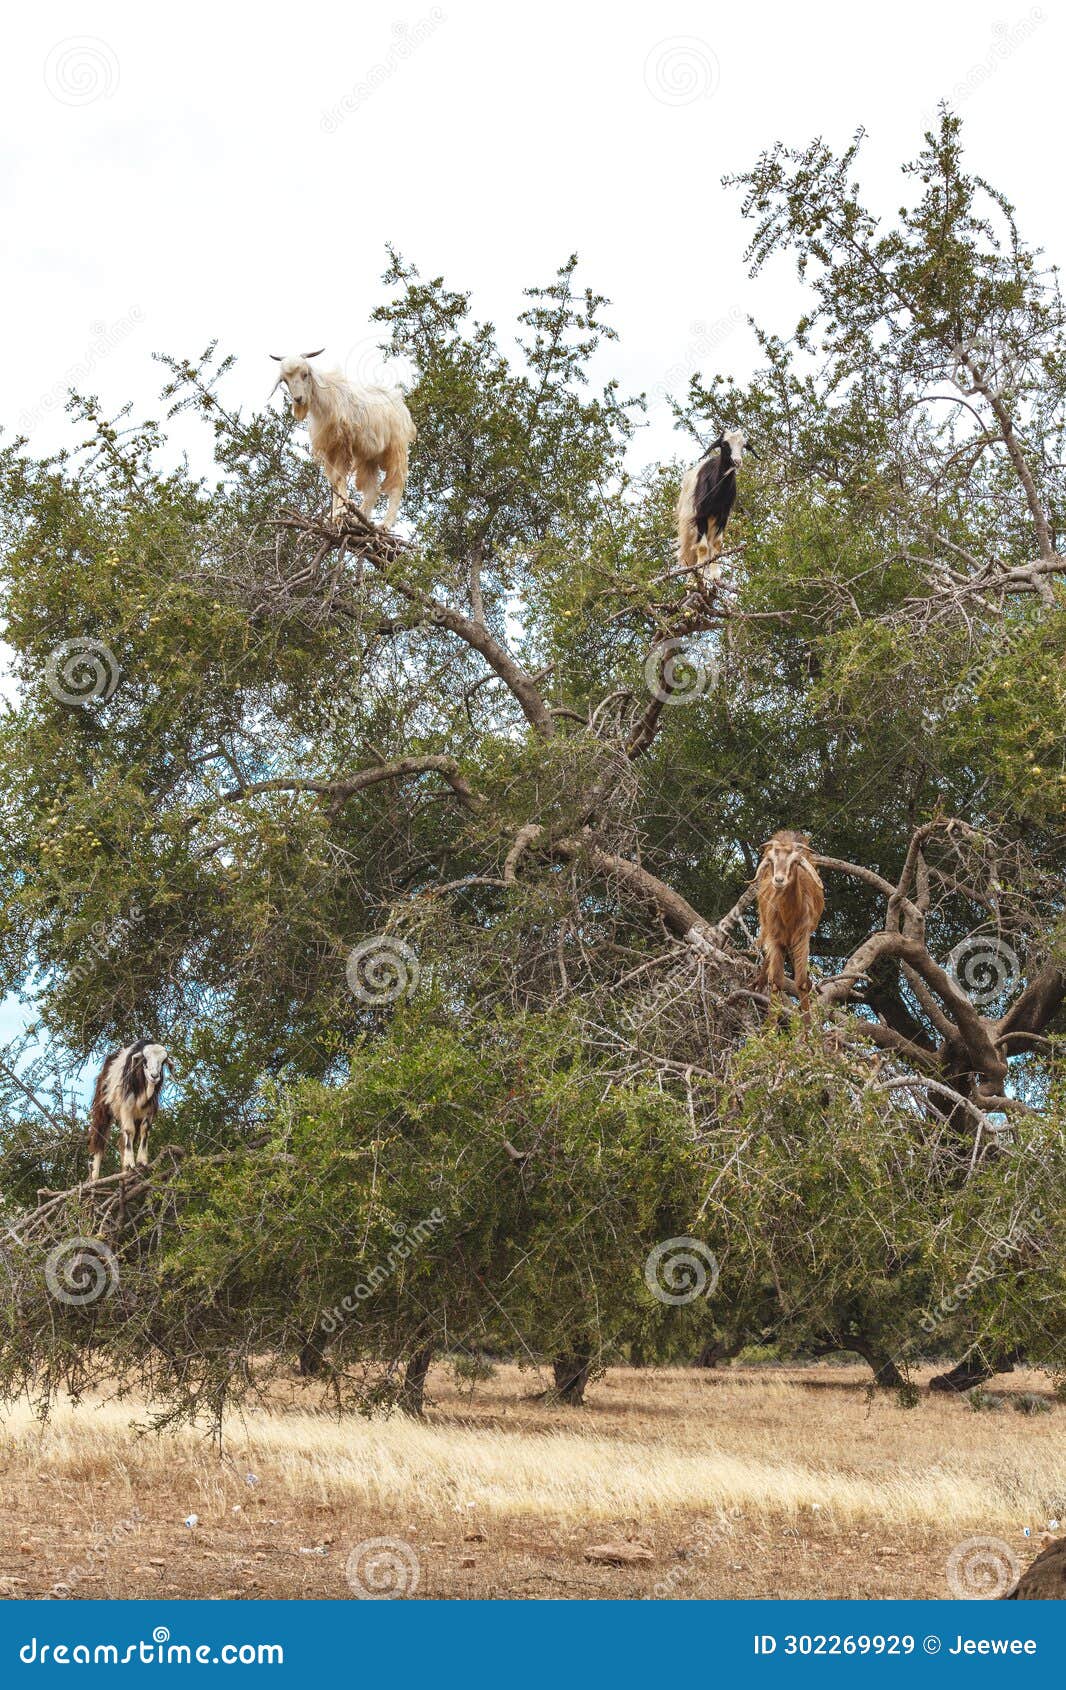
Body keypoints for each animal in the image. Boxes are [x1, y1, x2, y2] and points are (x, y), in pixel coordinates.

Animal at [88, 1041, 171, 1180]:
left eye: (163, 1061)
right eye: (145, 1059)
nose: (154, 1076)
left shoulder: (150, 1109)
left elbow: (145, 1130)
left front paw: (141, 1161)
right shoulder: (126, 1105)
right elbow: (129, 1130)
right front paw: (130, 1163)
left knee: (122, 1142)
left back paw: (125, 1175)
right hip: (103, 1107)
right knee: (100, 1138)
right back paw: (94, 1177)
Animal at [270, 350, 416, 527]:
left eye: (305, 374)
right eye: (285, 380)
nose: (298, 399)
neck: (326, 402)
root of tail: (403, 410)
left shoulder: (343, 445)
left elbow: (340, 477)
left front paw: (340, 512)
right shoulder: (329, 449)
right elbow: (334, 481)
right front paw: (333, 516)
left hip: (396, 448)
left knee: (397, 483)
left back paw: (385, 525)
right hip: (369, 457)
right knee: (372, 490)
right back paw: (359, 519)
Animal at [676, 429, 751, 587]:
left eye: (743, 445)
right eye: (724, 444)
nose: (737, 461)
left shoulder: (722, 516)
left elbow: (716, 545)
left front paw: (716, 576)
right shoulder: (700, 515)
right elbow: (703, 547)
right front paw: (701, 577)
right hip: (688, 529)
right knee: (691, 554)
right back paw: (692, 582)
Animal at [753, 830, 825, 1022]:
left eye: (795, 862)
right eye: (771, 861)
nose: (779, 880)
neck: (788, 918)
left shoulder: (802, 938)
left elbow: (801, 983)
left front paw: (808, 1028)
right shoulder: (775, 938)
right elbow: (777, 982)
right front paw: (768, 1028)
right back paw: (758, 986)